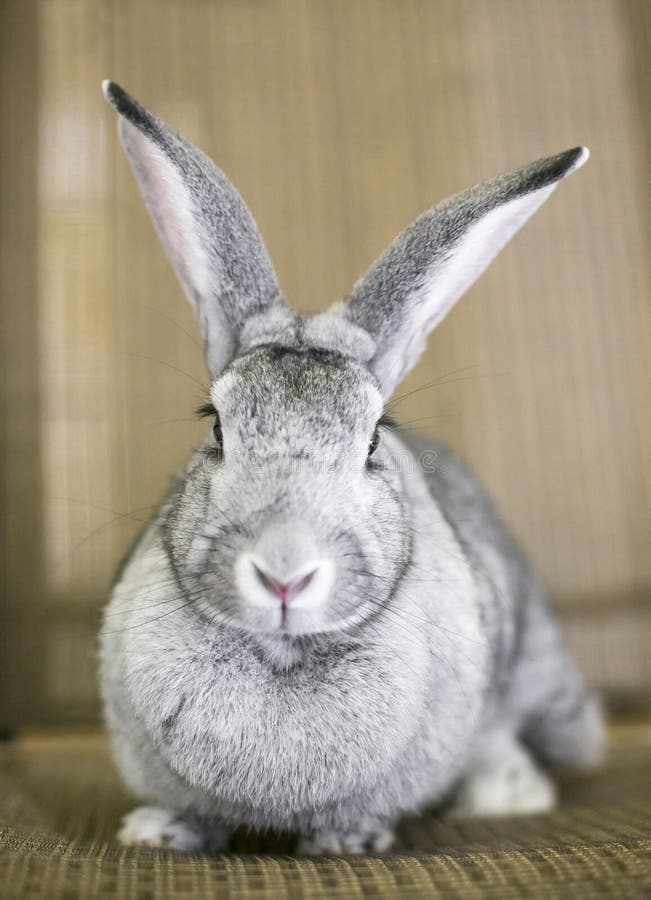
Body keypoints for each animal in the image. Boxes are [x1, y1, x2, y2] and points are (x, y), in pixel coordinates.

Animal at [100, 81, 604, 855]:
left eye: (371, 443)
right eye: (215, 426)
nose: (285, 574)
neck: (284, 651)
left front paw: (348, 841)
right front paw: (159, 832)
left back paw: (504, 795)